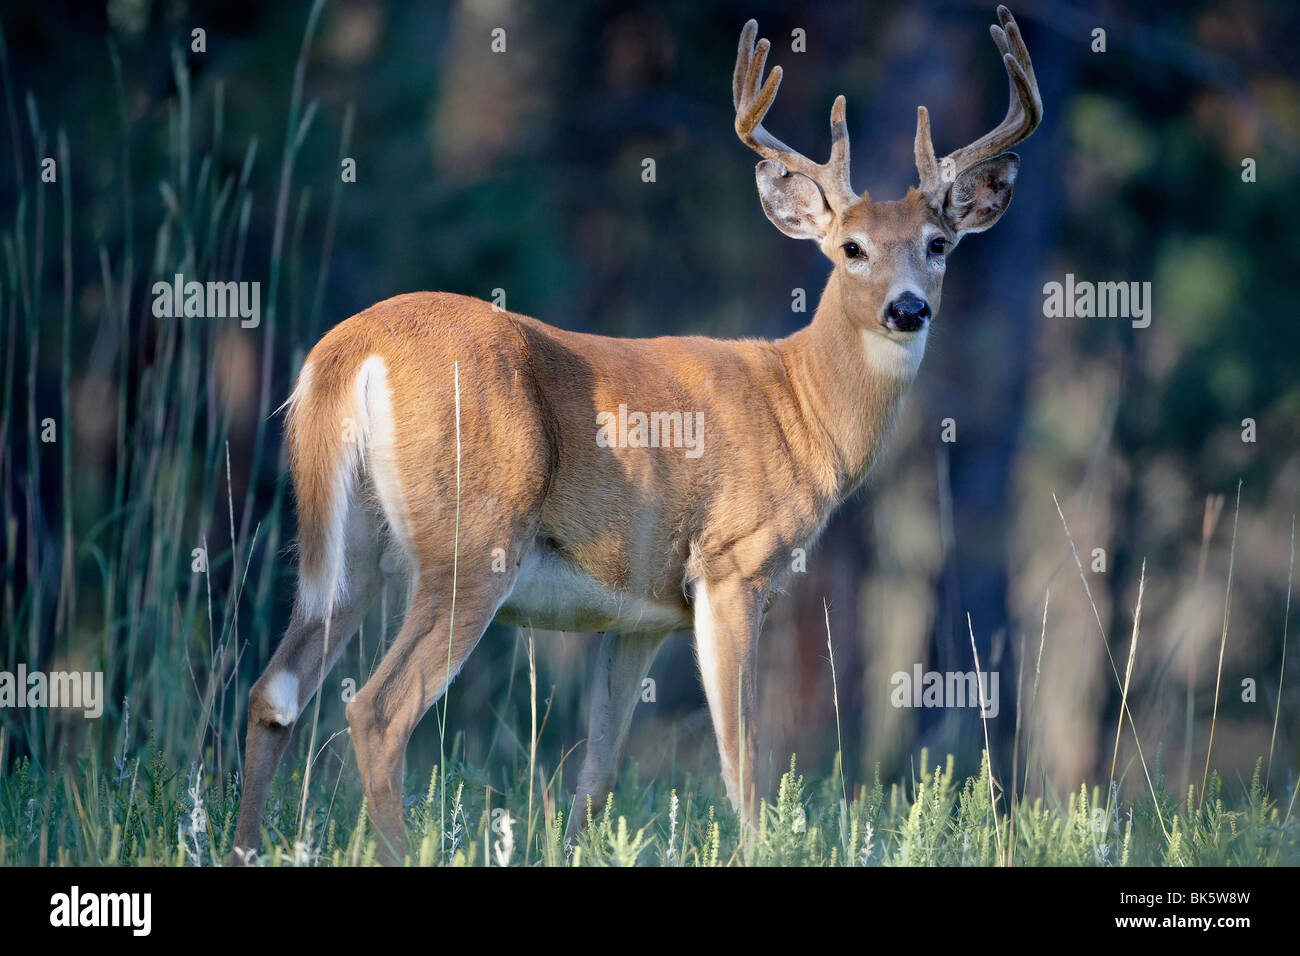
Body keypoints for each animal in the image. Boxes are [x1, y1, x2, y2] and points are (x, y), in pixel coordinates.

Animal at [228, 5, 1041, 865]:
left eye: (939, 245)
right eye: (851, 249)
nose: (908, 309)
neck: (800, 406)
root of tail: (345, 352)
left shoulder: (640, 615)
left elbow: (596, 772)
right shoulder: (733, 564)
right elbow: (743, 760)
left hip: (348, 547)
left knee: (274, 691)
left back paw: (242, 844)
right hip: (473, 537)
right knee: (378, 713)